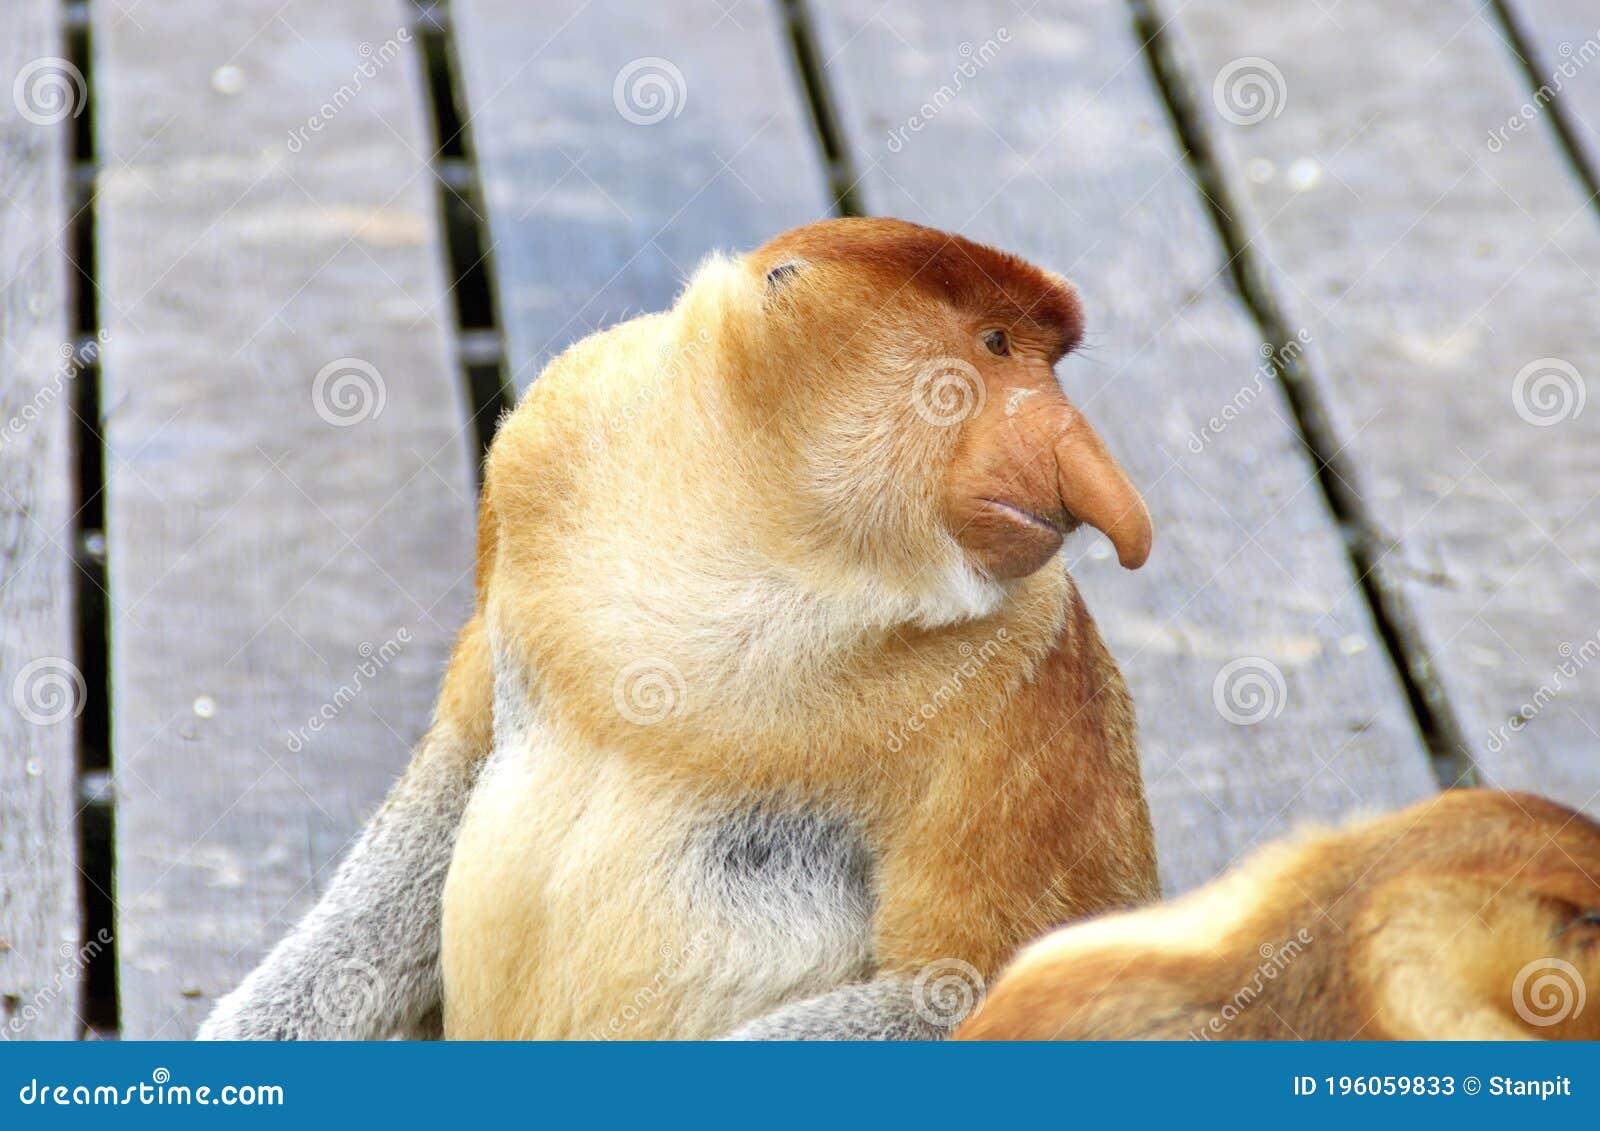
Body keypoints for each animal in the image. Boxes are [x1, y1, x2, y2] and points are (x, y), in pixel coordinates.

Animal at [199, 217, 1159, 1041]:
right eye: (997, 345)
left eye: (1043, 360)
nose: (1073, 448)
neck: (765, 546)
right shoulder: (543, 441)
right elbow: (463, 753)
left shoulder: (1032, 674)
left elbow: (972, 984)